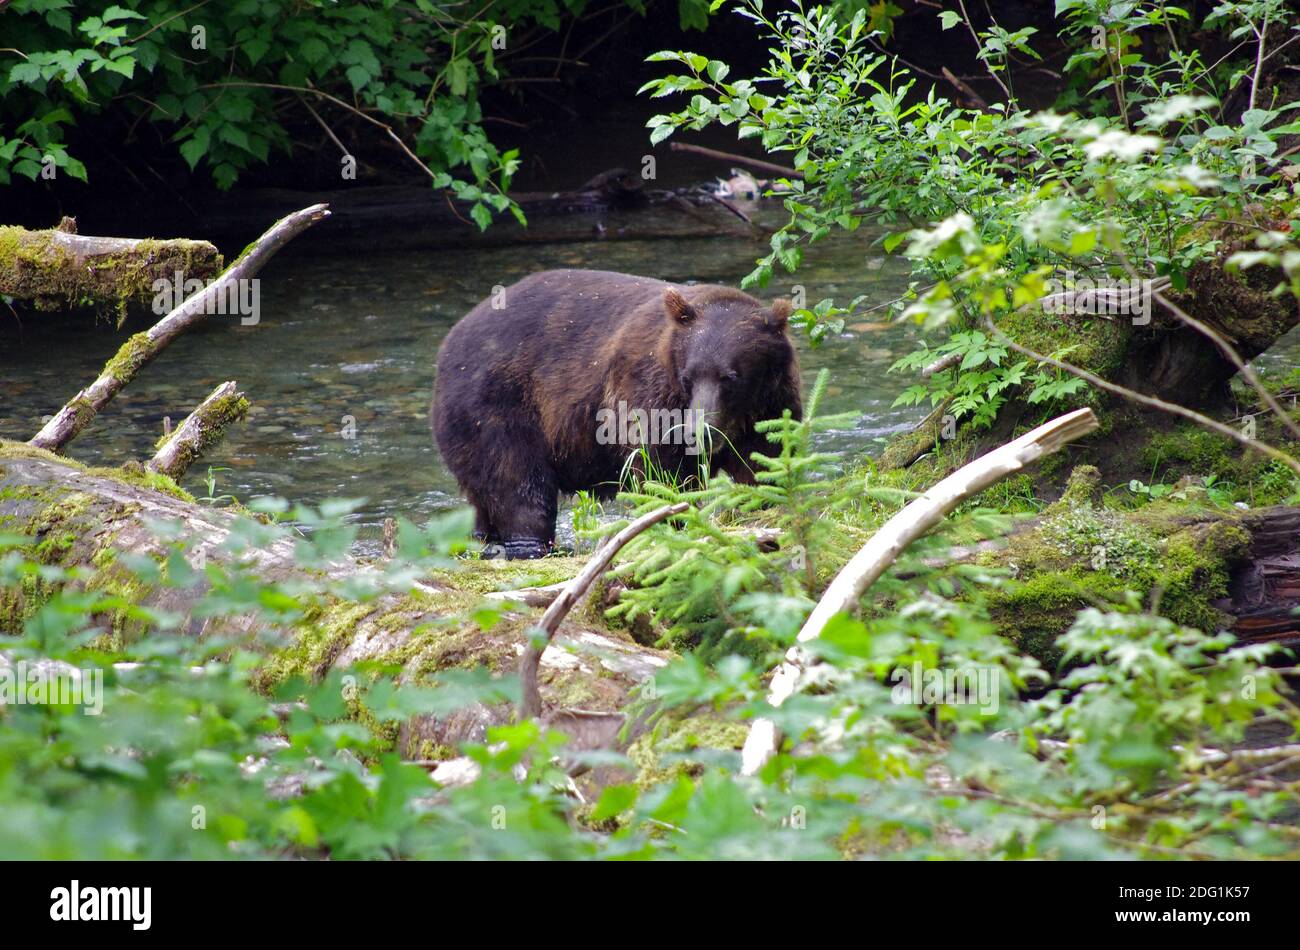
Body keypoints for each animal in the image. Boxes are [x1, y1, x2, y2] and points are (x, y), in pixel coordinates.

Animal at [431, 269, 802, 559]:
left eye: (730, 377)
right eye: (689, 376)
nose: (698, 432)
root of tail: (448, 343)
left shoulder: (769, 405)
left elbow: (763, 461)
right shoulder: (649, 391)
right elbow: (660, 468)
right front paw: (673, 516)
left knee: (482, 496)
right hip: (496, 405)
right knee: (517, 481)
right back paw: (530, 543)